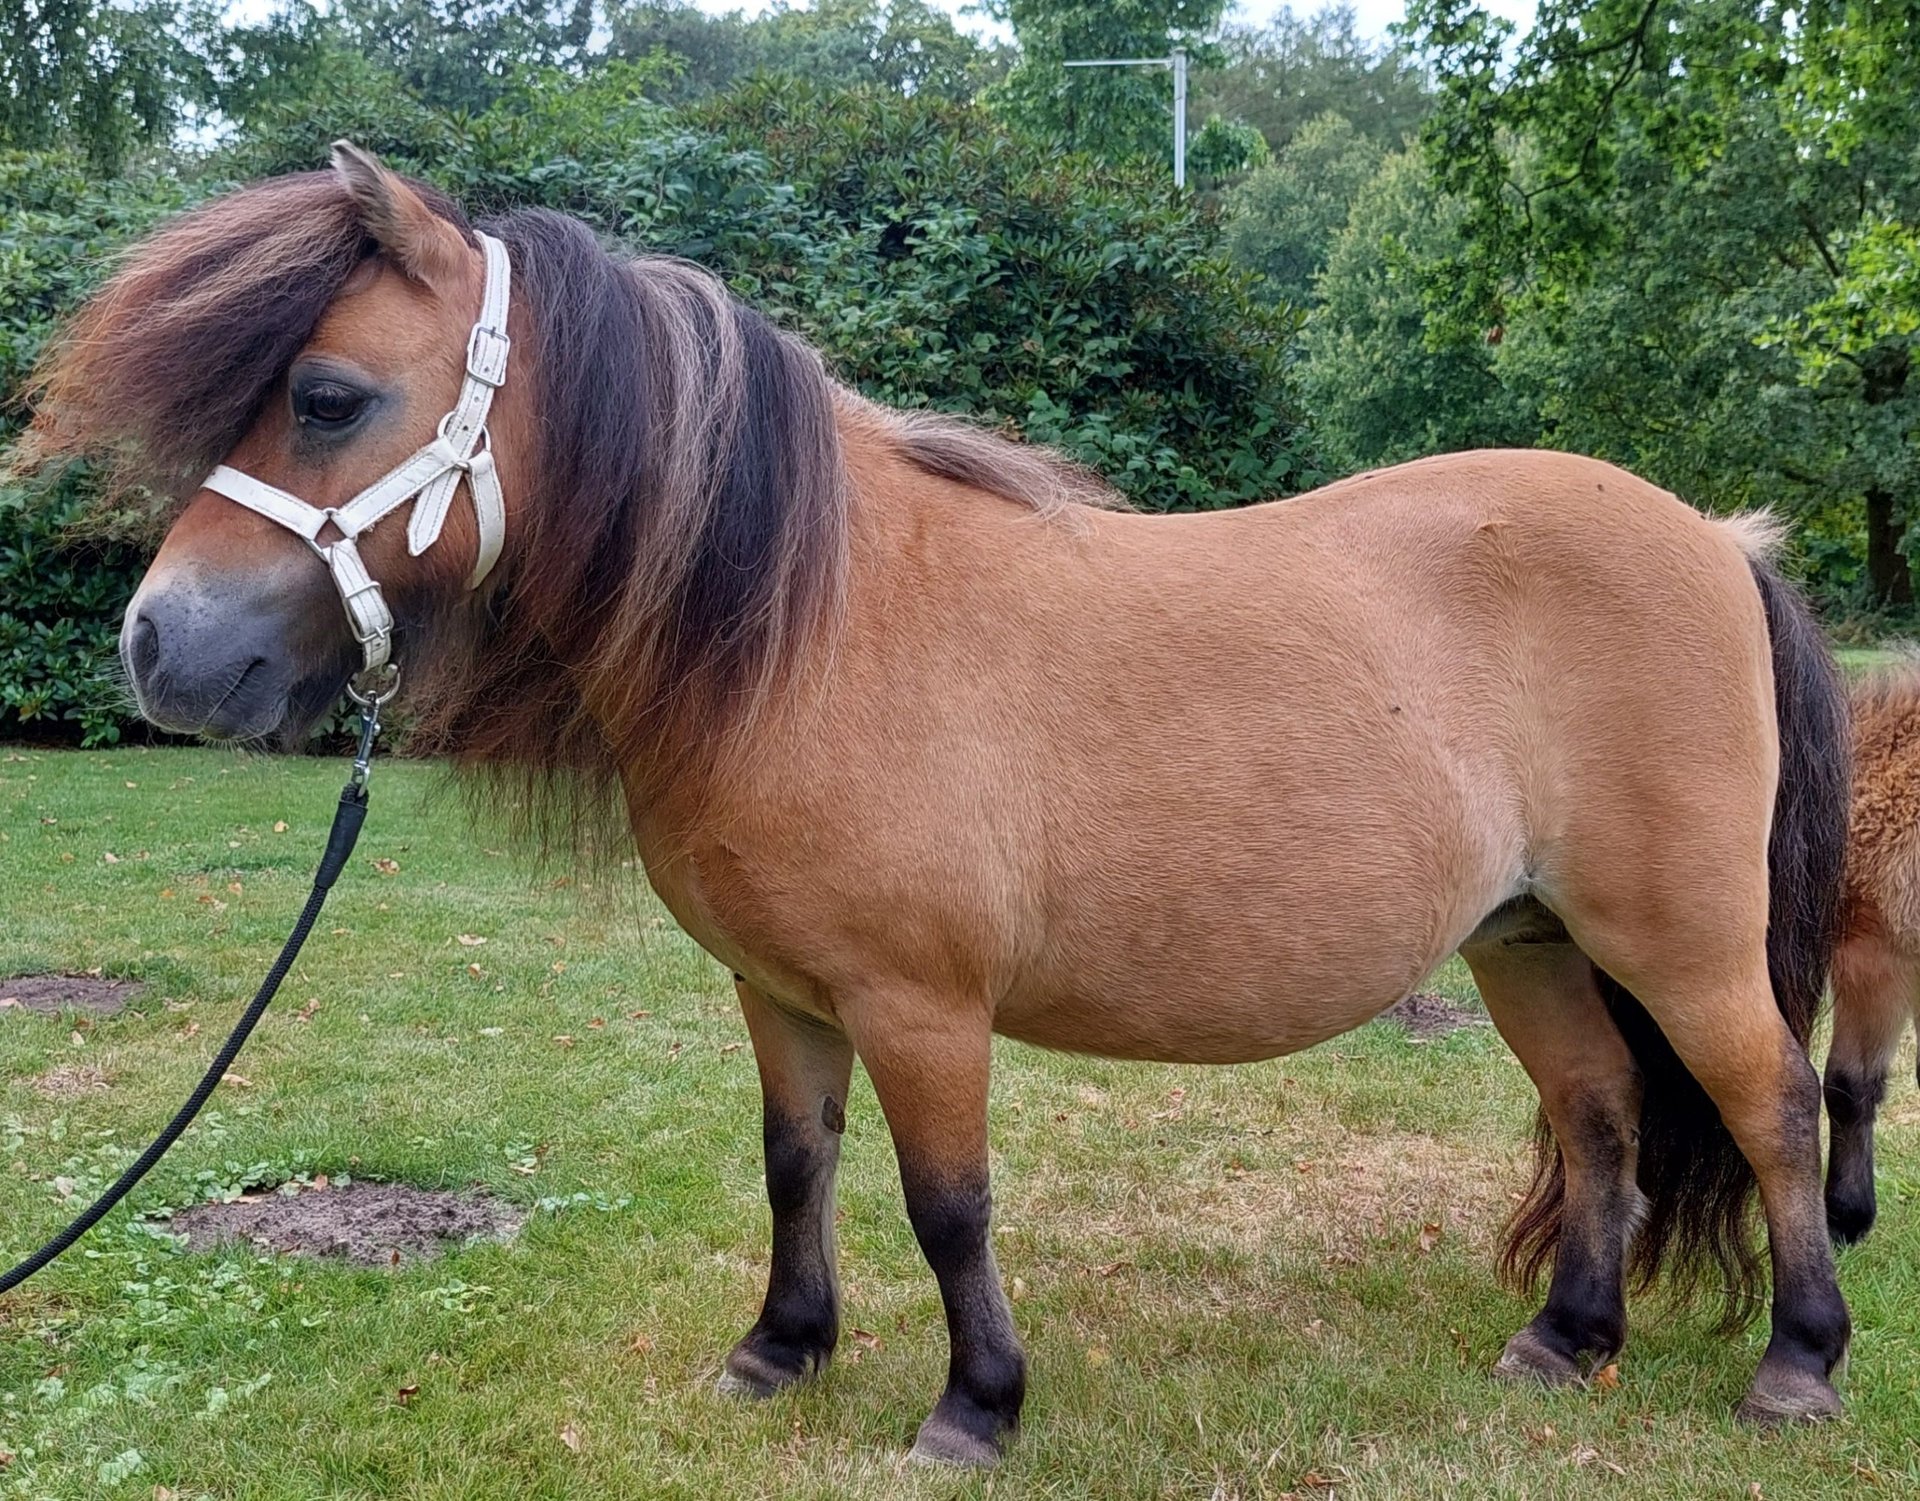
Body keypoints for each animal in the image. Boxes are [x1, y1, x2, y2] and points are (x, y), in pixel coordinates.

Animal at [20, 145, 1854, 1464]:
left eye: (327, 396)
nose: (157, 648)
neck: (813, 628)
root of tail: (1716, 538)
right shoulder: (782, 994)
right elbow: (796, 1168)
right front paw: (780, 1352)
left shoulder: (921, 1003)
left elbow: (945, 1201)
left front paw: (976, 1408)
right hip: (1526, 937)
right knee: (1605, 1112)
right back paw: (1569, 1340)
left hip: (1679, 940)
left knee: (1773, 1108)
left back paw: (1799, 1365)